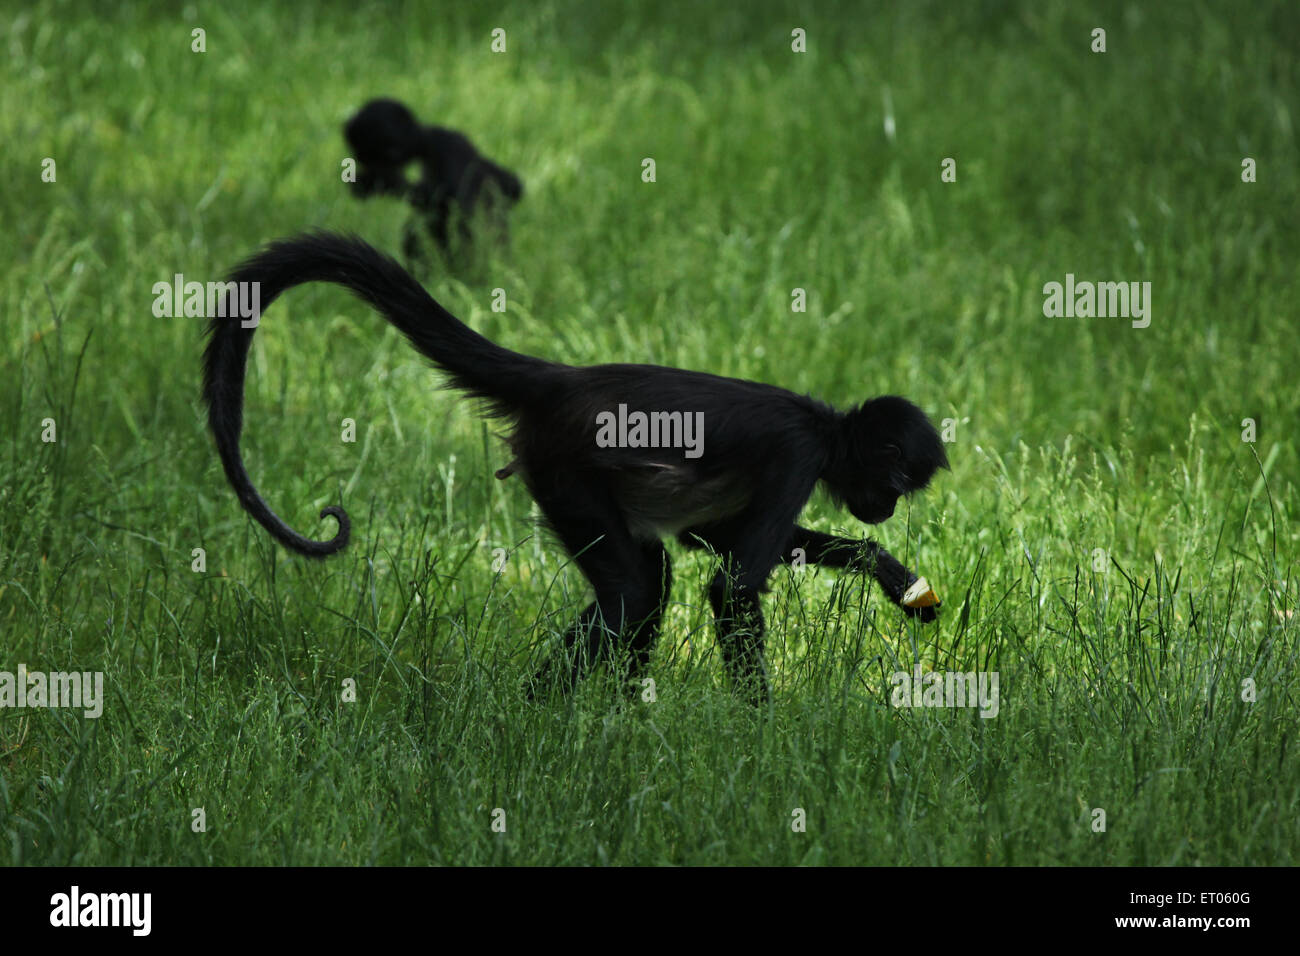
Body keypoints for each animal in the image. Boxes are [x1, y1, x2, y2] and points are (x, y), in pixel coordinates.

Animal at [203, 233, 948, 704]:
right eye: (895, 485)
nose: (885, 509)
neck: (827, 427)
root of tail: (563, 380)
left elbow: (707, 540)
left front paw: (887, 568)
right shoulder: (797, 455)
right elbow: (731, 587)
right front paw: (760, 734)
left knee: (650, 580)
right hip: (562, 469)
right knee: (633, 596)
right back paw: (535, 717)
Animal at [343, 98, 523, 262]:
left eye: (363, 157)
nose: (357, 161)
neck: (425, 143)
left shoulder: (445, 143)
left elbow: (457, 201)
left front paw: (381, 181)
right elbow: (512, 184)